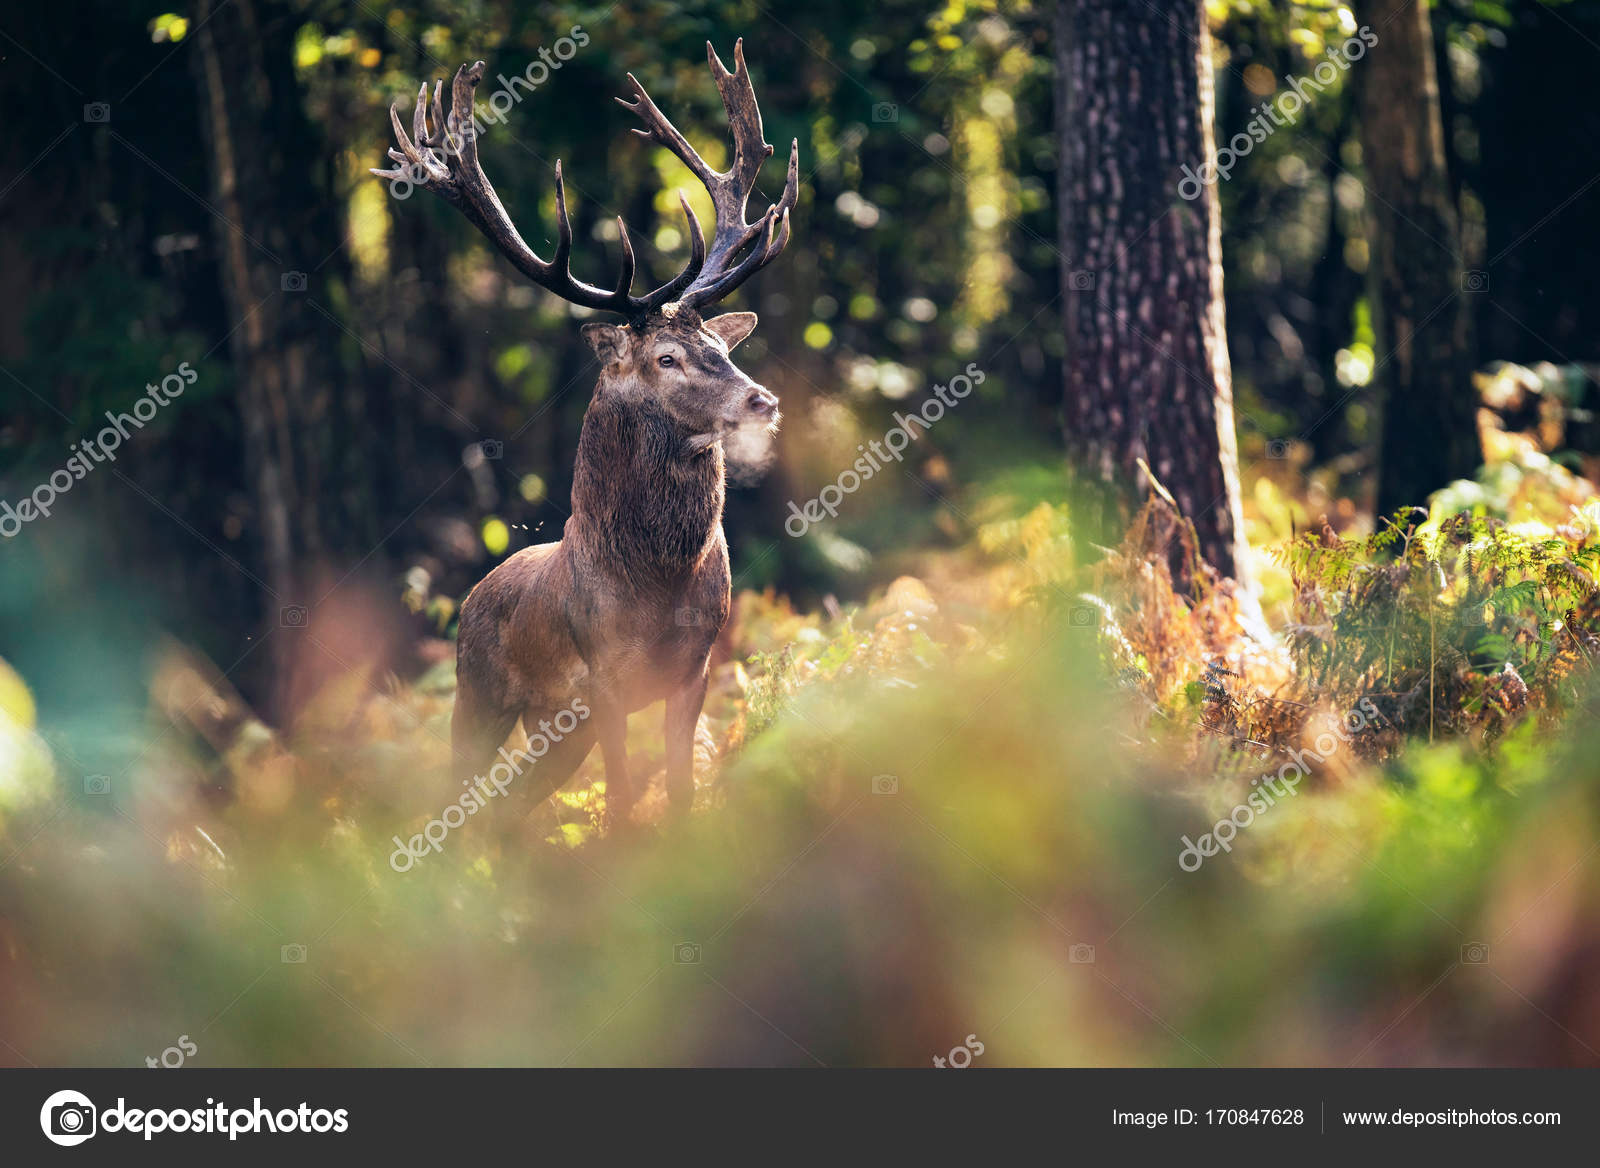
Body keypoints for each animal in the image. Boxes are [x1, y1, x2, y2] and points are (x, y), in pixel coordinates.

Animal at [374, 42, 798, 827]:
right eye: (666, 358)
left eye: (721, 348)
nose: (763, 399)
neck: (657, 586)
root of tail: (472, 596)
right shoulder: (603, 680)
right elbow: (625, 801)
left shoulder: (697, 669)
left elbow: (679, 789)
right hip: (477, 695)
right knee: (460, 794)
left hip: (552, 732)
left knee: (509, 812)